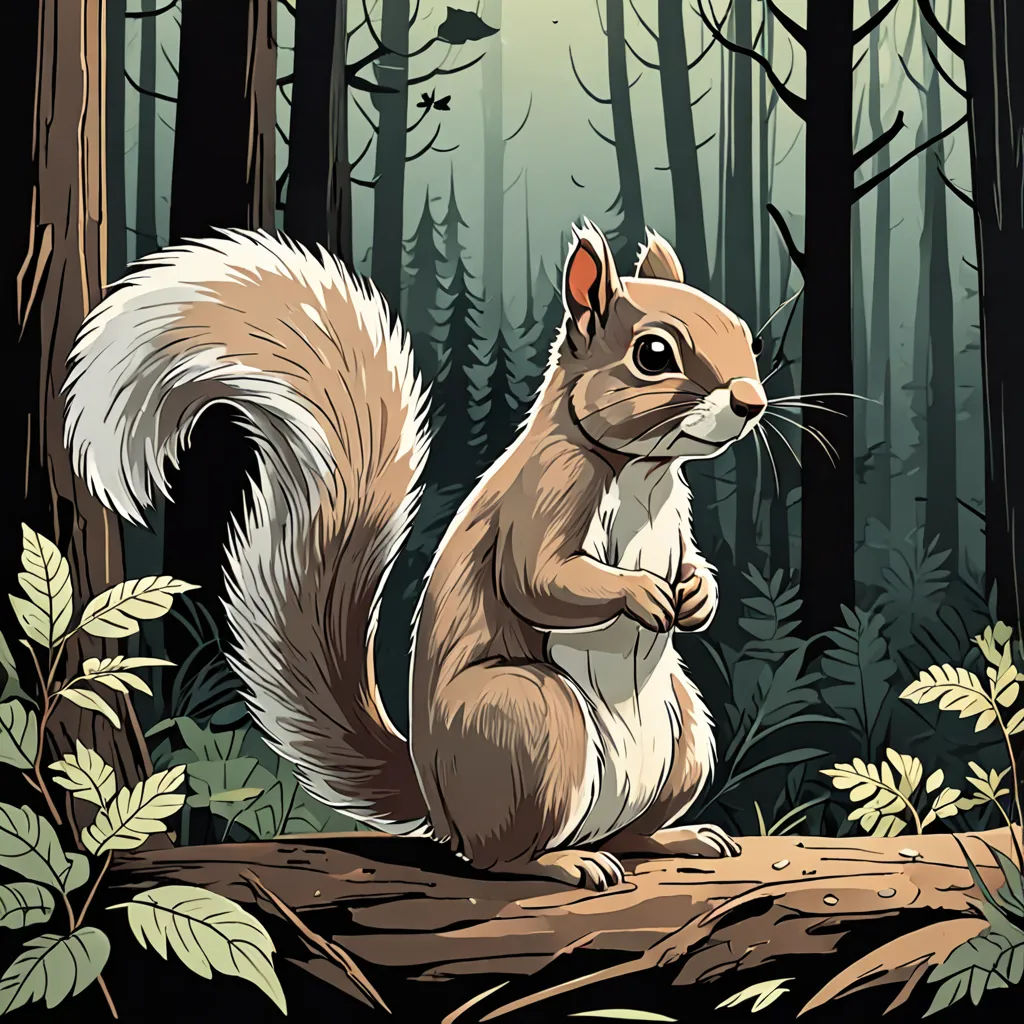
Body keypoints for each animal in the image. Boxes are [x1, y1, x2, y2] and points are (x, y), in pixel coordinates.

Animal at [63, 219, 767, 890]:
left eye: (744, 333)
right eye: (653, 354)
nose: (751, 402)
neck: (642, 471)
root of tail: (439, 805)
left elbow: (689, 564)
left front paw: (697, 595)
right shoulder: (548, 491)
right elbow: (539, 580)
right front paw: (641, 592)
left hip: (684, 733)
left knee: (629, 831)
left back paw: (676, 837)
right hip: (530, 718)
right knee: (497, 857)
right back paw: (560, 862)